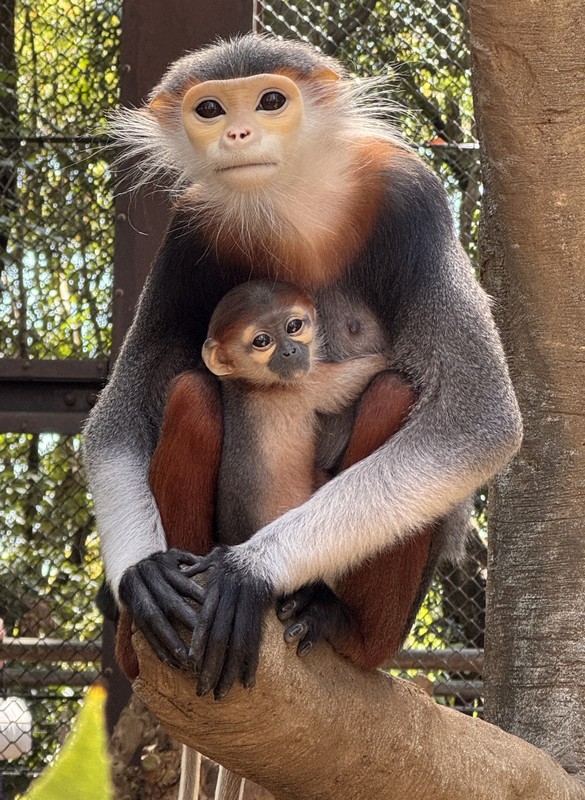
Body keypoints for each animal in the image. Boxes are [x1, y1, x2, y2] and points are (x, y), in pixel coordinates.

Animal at [83, 34, 522, 702]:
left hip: (390, 630)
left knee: (395, 392)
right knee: (189, 391)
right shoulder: (189, 233)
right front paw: (145, 576)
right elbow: (112, 425)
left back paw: (329, 616)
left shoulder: (411, 198)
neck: (292, 205)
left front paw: (251, 571)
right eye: (209, 109)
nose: (237, 132)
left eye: (270, 101)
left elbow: (481, 418)